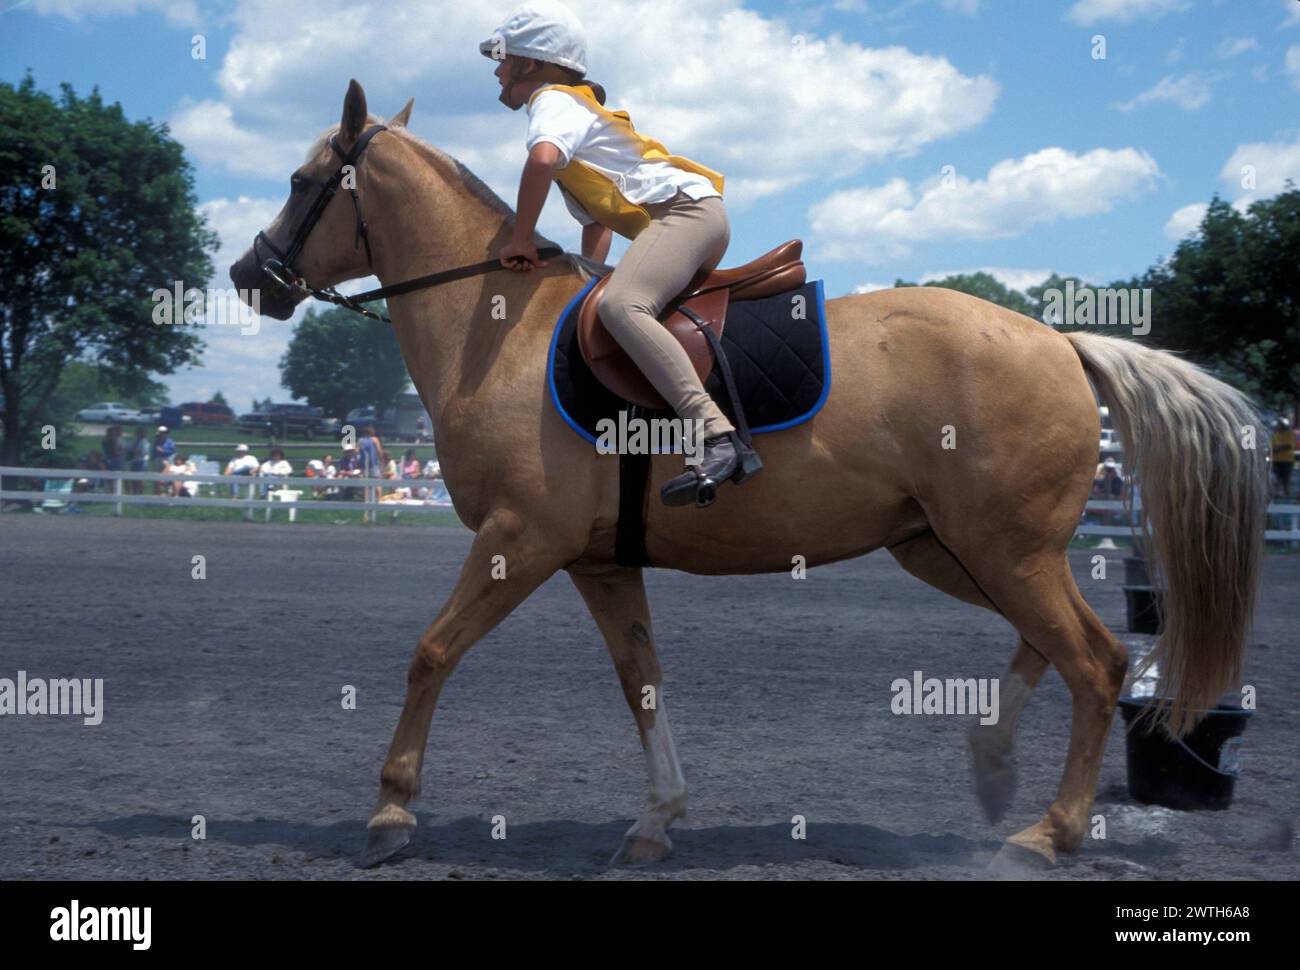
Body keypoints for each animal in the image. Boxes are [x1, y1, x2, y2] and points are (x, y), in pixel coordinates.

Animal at [230, 81, 1268, 870]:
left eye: (300, 181)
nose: (250, 273)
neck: (500, 332)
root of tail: (1061, 341)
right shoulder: (598, 562)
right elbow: (641, 680)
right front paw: (657, 821)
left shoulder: (517, 542)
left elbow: (432, 651)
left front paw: (391, 811)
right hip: (953, 550)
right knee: (1059, 649)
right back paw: (992, 760)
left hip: (1004, 551)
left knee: (1093, 662)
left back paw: (1047, 833)